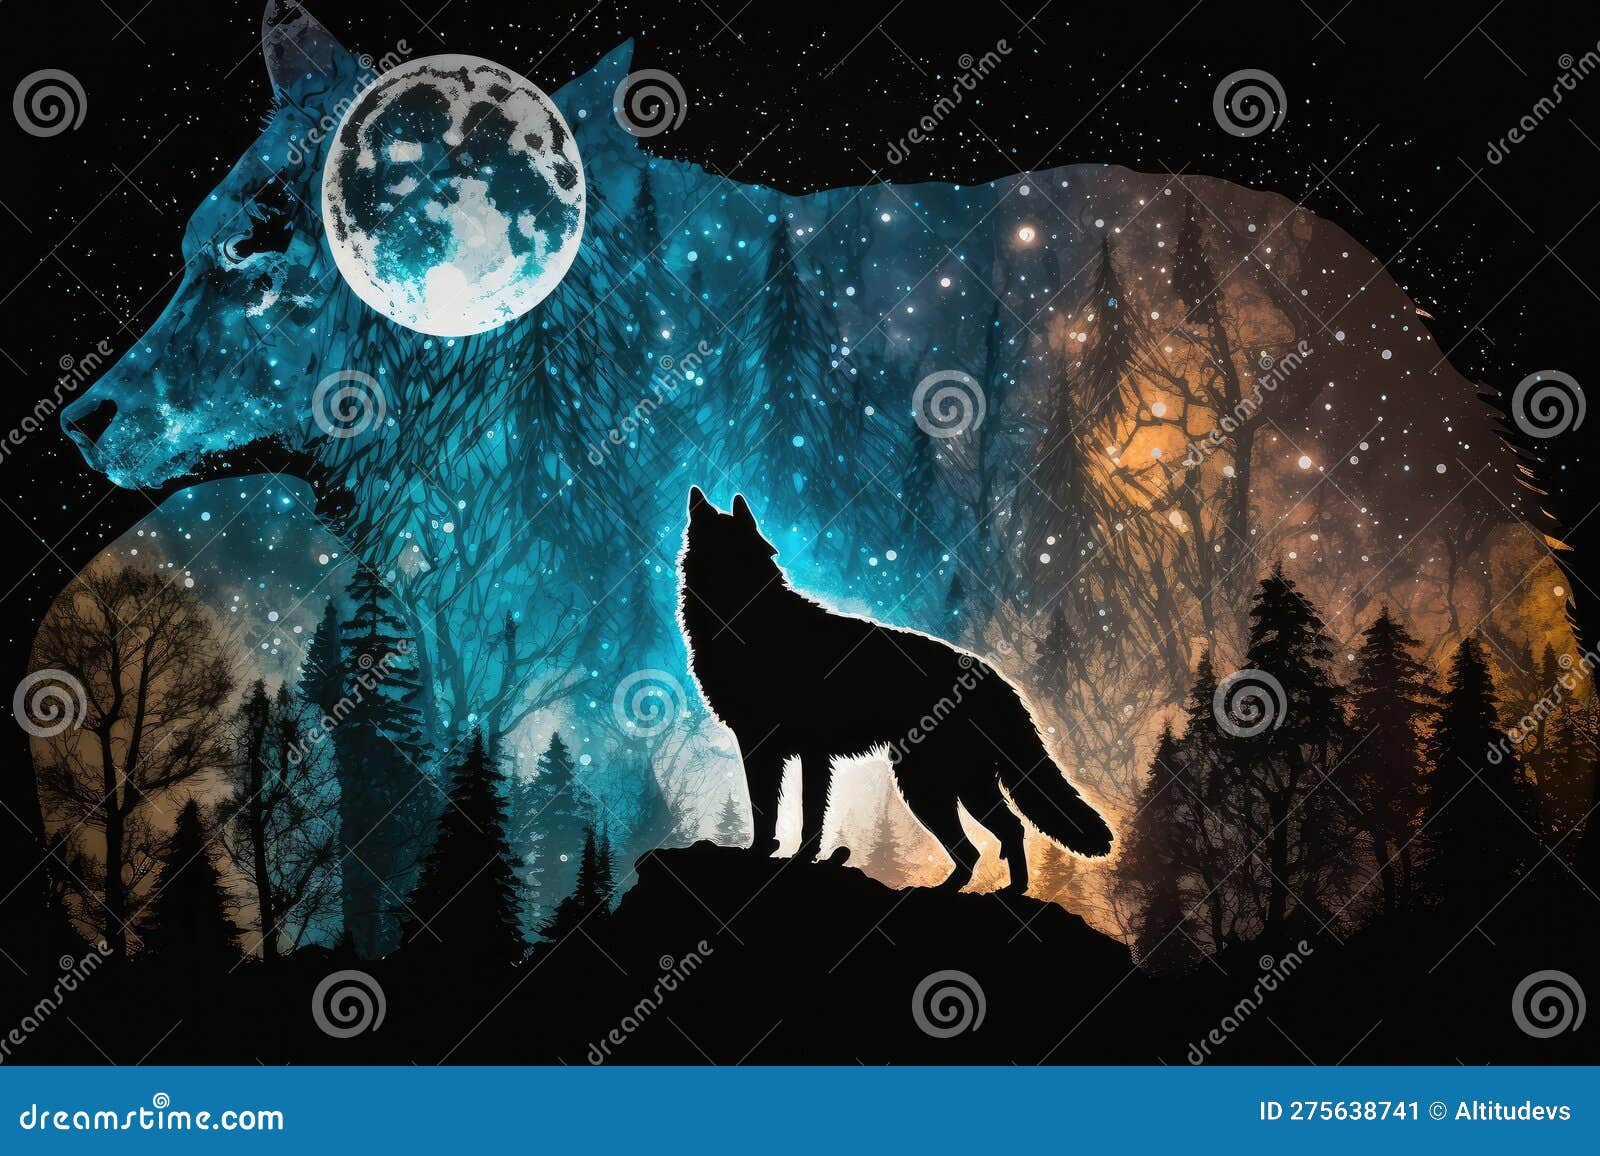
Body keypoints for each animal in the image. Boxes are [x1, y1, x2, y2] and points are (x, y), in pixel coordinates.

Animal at [680, 487, 1112, 893]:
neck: (748, 618)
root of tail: (997, 680)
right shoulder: (785, 750)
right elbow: (785, 814)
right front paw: (781, 855)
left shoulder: (784, 750)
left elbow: (786, 813)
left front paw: (776, 856)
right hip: (959, 786)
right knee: (1000, 834)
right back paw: (1001, 891)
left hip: (927, 785)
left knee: (984, 842)